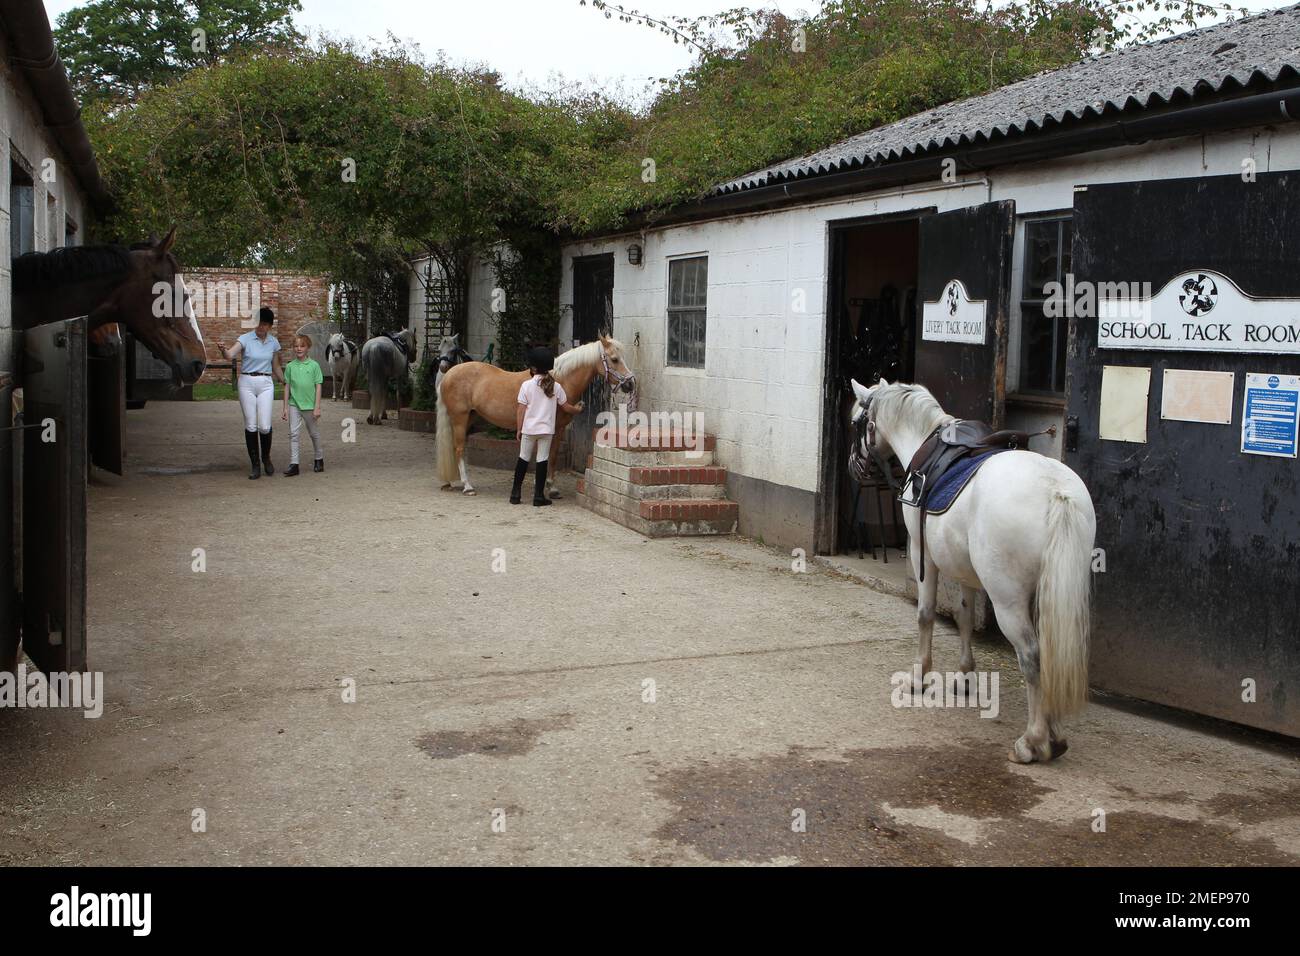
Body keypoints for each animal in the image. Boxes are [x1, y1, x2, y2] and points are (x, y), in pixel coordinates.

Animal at [436, 334, 635, 497]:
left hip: (470, 417)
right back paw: (467, 486)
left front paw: (551, 486)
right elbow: (545, 454)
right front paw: (543, 486)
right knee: (459, 449)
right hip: (459, 418)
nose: (630, 384)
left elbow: (552, 455)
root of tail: (449, 374)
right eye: (614, 359)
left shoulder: (559, 428)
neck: (558, 381)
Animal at [849, 378, 1094, 764]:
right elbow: (965, 616)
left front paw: (919, 676)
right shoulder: (964, 569)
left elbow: (925, 614)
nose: (852, 466)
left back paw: (1035, 742)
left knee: (1032, 656)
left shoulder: (923, 556)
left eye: (856, 423)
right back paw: (1053, 732)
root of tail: (1055, 492)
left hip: (1008, 599)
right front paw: (965, 677)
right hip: (1054, 591)